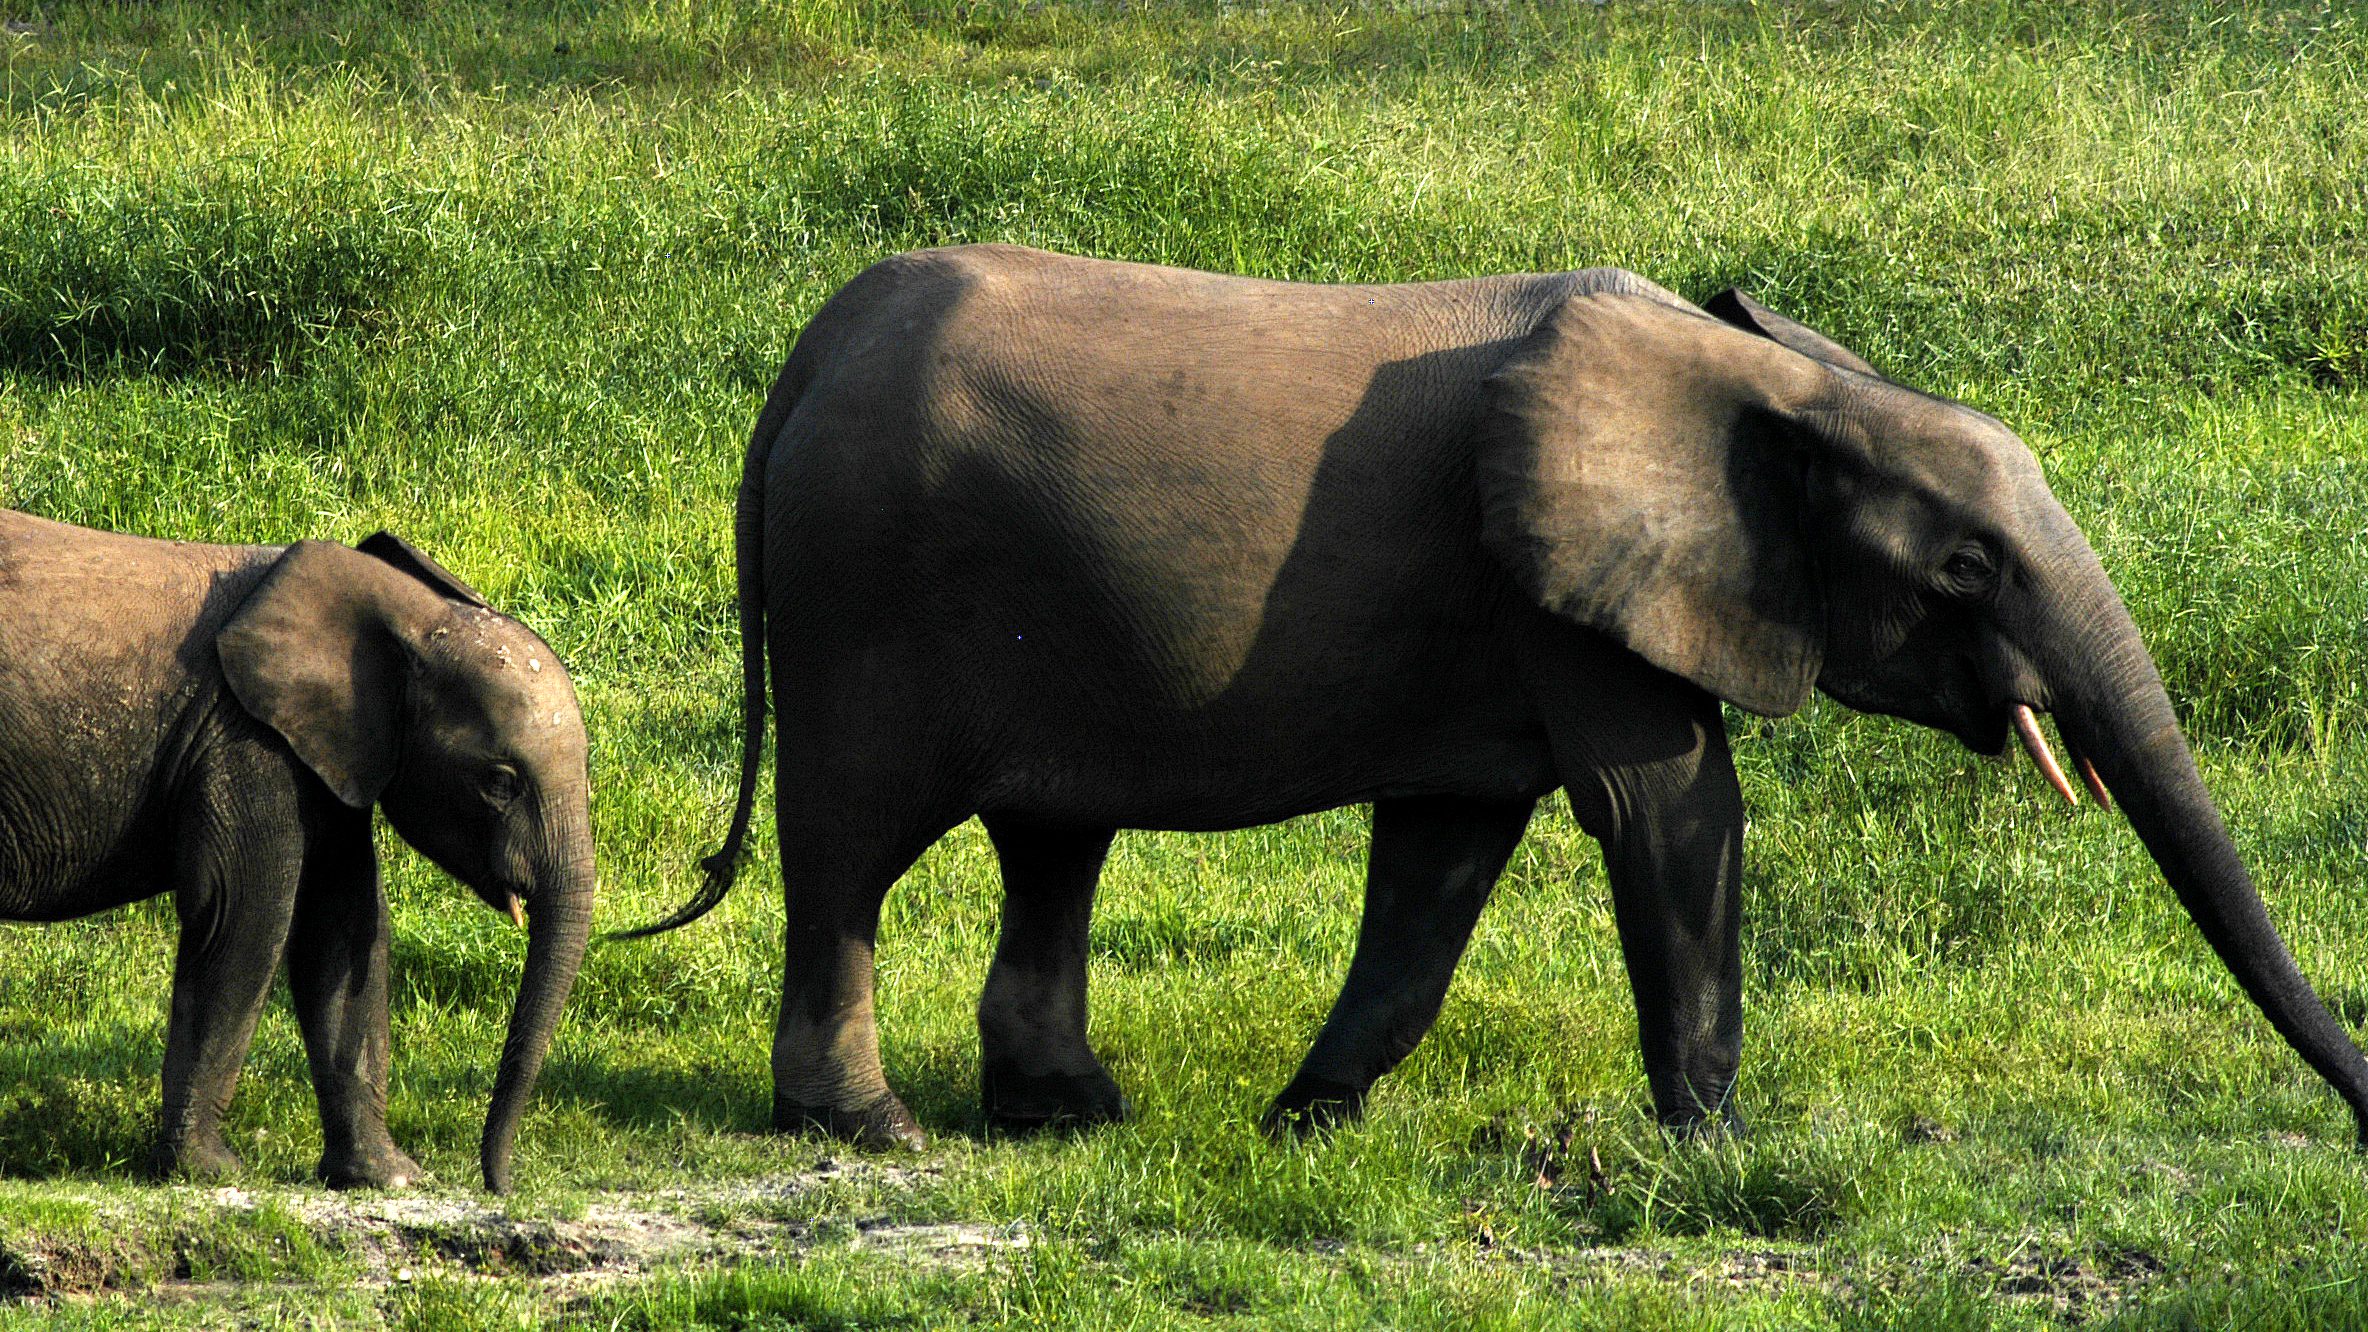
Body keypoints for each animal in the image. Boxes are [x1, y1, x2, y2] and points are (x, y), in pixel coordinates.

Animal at [0, 510, 594, 1192]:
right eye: (500, 782)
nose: (501, 1185)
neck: (409, 615)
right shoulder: (243, 740)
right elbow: (245, 917)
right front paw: (208, 1171)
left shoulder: (328, 751)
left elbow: (344, 926)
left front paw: (386, 1177)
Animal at [635, 243, 2368, 1153]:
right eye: (1962, 568)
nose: (2355, 1110)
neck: (1771, 387)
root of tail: (809, 355)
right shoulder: (1565, 597)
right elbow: (1670, 811)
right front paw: (1715, 1154)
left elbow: (1443, 856)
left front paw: (1305, 1124)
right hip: (866, 596)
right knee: (852, 852)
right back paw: (869, 1131)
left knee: (1051, 844)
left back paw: (1074, 1117)